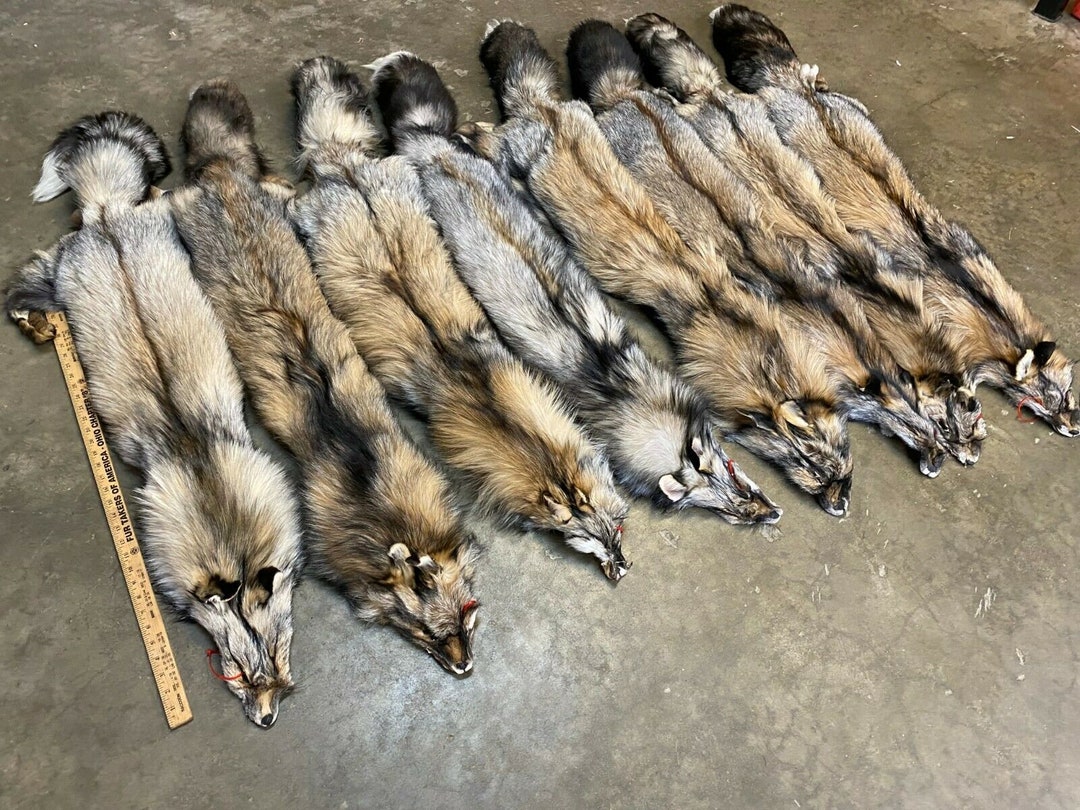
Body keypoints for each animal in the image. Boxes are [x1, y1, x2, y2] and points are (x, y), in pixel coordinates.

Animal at [5, 112, 303, 728]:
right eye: (237, 673)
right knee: (28, 276)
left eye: (279, 648)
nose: (266, 719)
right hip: (64, 267)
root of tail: (109, 215)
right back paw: (33, 319)